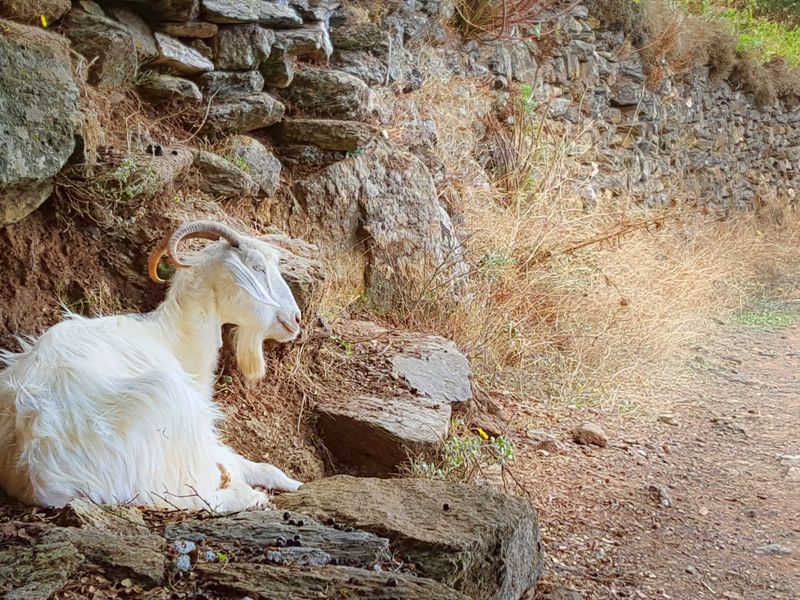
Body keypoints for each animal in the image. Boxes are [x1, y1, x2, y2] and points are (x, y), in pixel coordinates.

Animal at [0, 221, 304, 512]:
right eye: (257, 268)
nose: (296, 319)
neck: (171, 337)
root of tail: (40, 473)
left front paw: (295, 484)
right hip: (167, 405)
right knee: (194, 497)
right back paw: (249, 496)